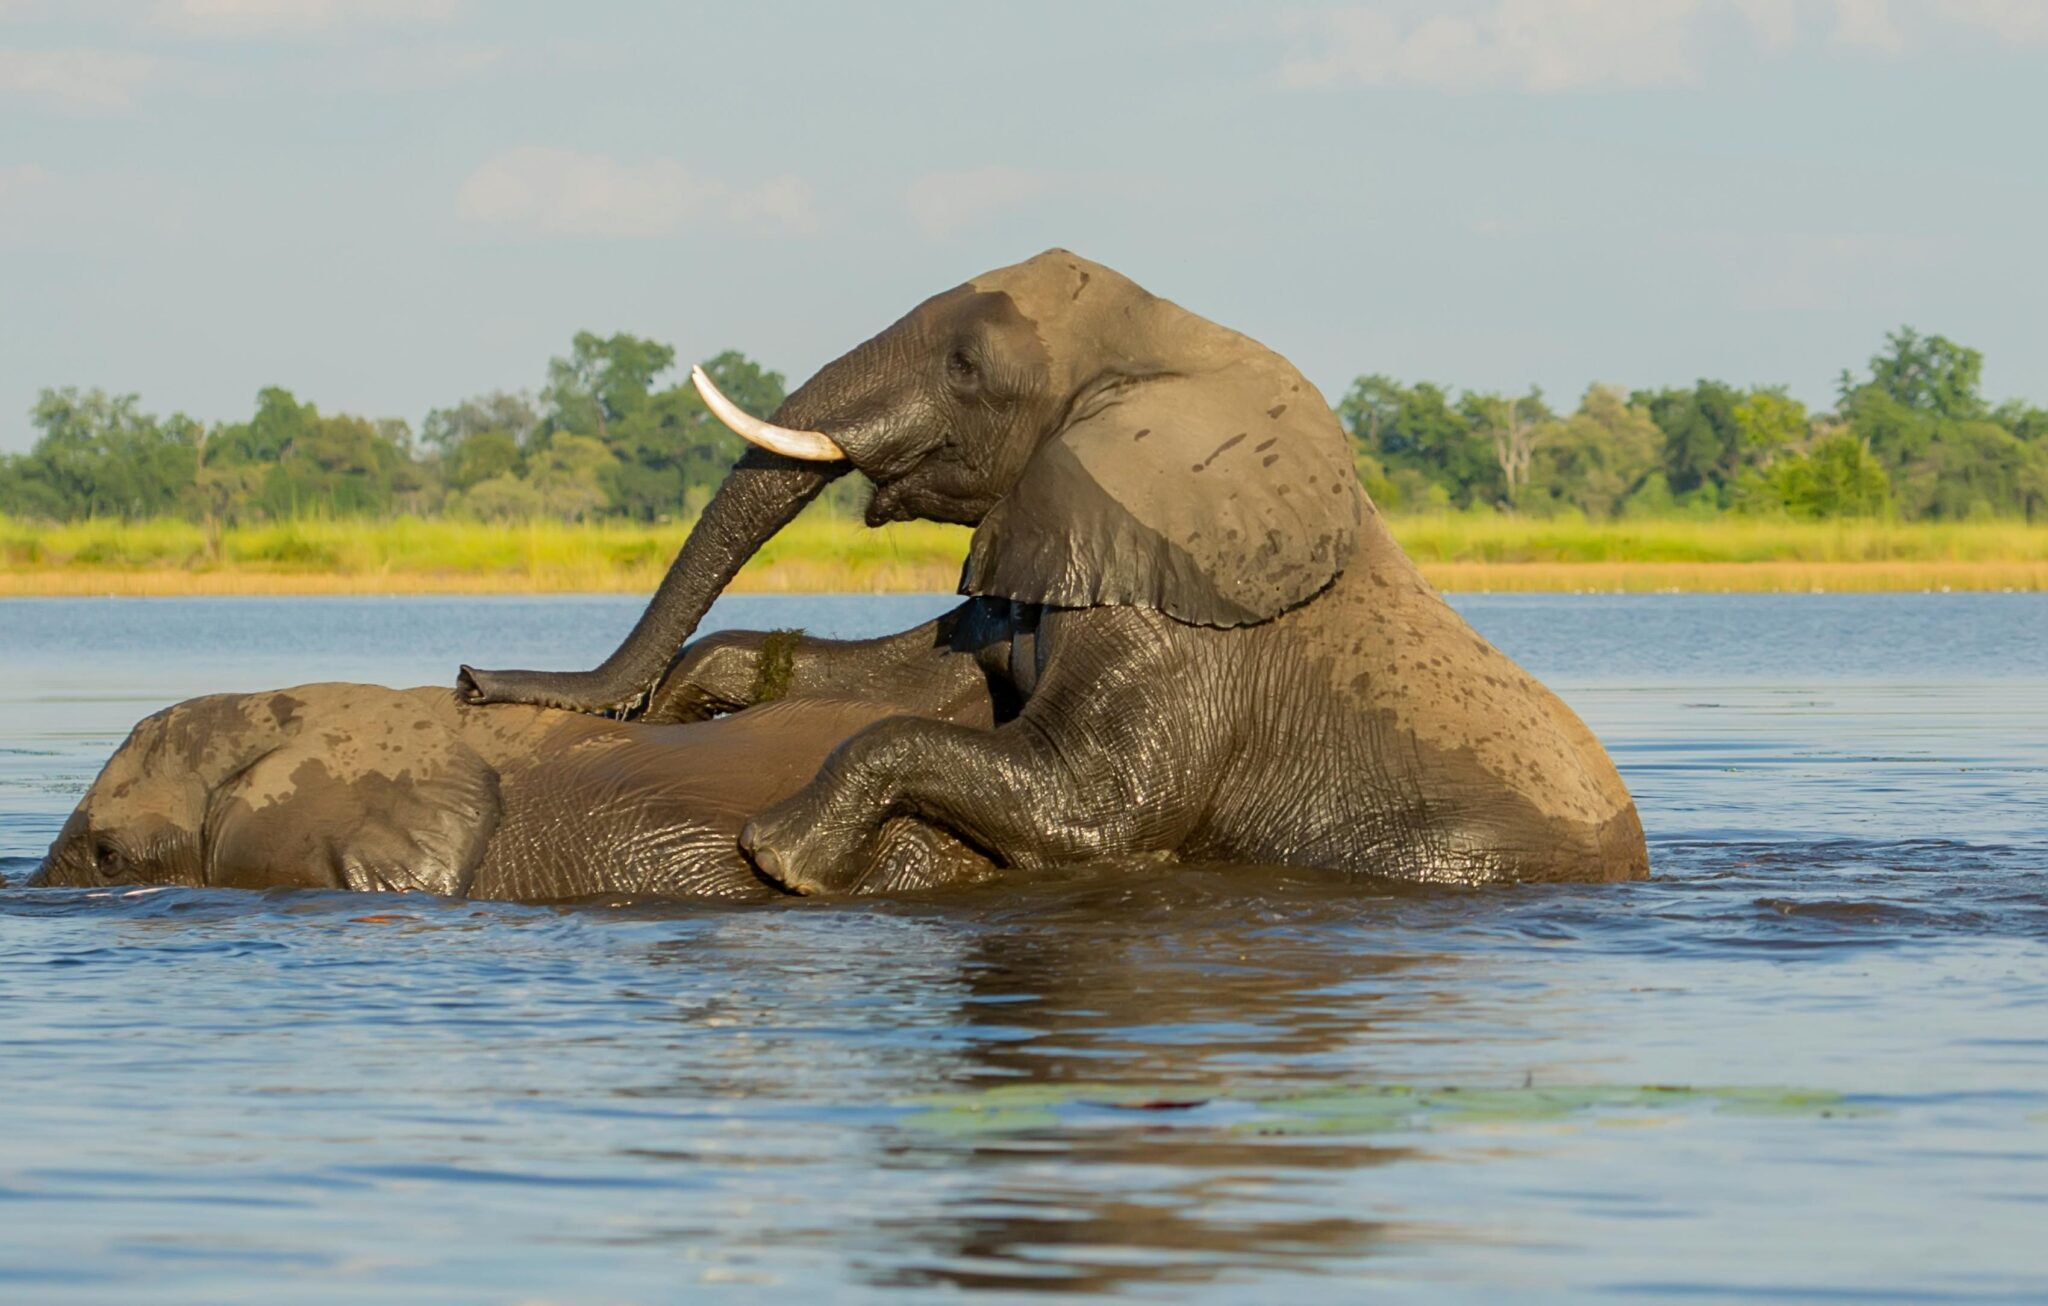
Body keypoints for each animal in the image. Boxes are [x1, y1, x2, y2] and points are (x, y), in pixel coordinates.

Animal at [460, 250, 1649, 892]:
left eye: (965, 366)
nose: (473, 681)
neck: (1171, 343)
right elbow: (931, 673)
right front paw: (689, 702)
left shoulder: (1184, 628)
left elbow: (1101, 805)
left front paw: (780, 855)